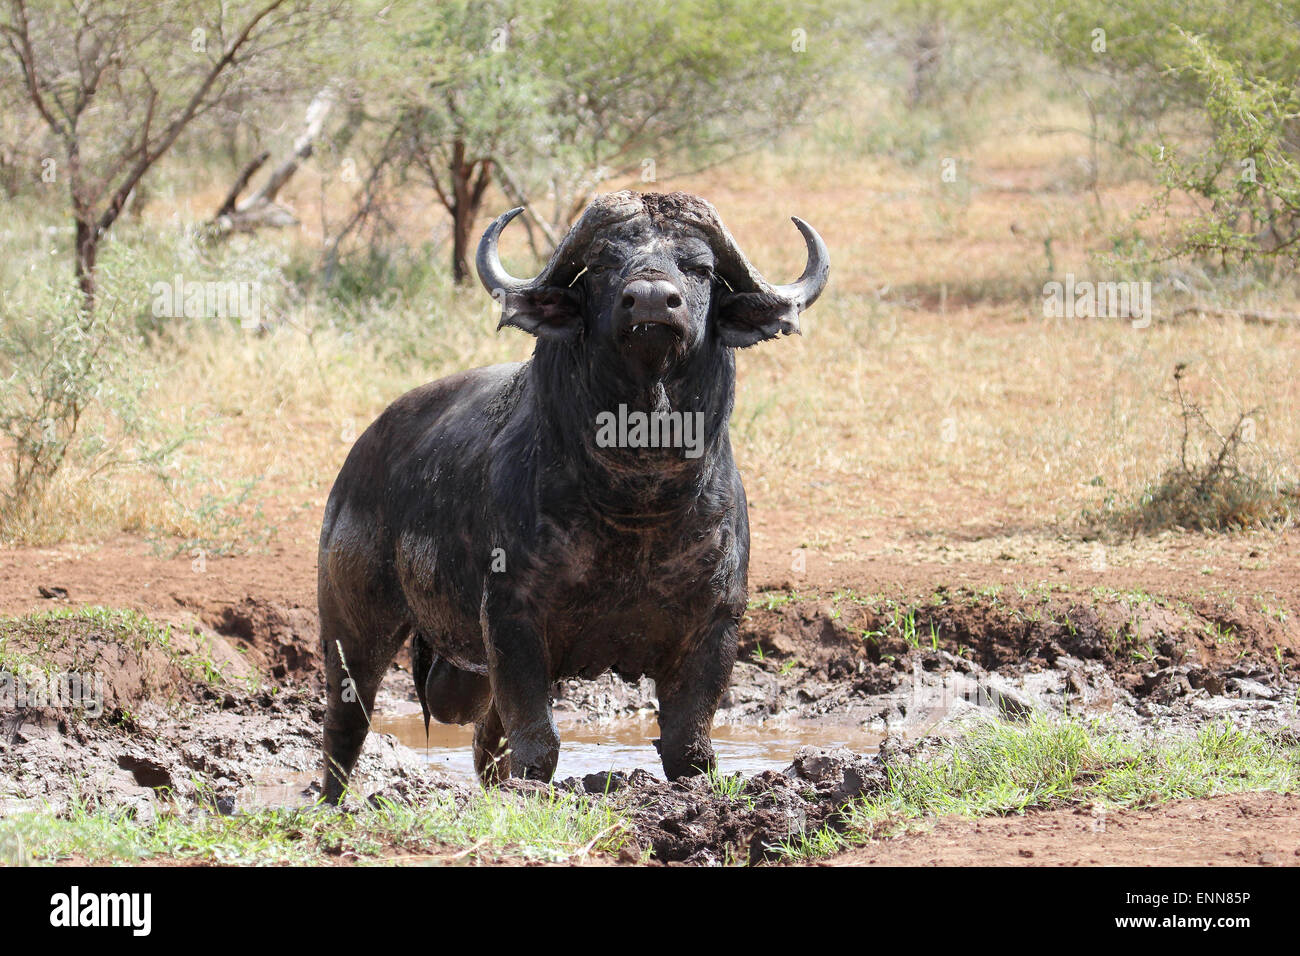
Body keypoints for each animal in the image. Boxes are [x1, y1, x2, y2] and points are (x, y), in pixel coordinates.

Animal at [318, 190, 827, 800]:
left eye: (700, 268)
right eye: (603, 265)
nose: (651, 300)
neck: (636, 503)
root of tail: (360, 458)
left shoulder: (717, 620)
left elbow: (690, 746)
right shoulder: (512, 620)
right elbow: (538, 743)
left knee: (483, 740)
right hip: (351, 629)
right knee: (345, 729)